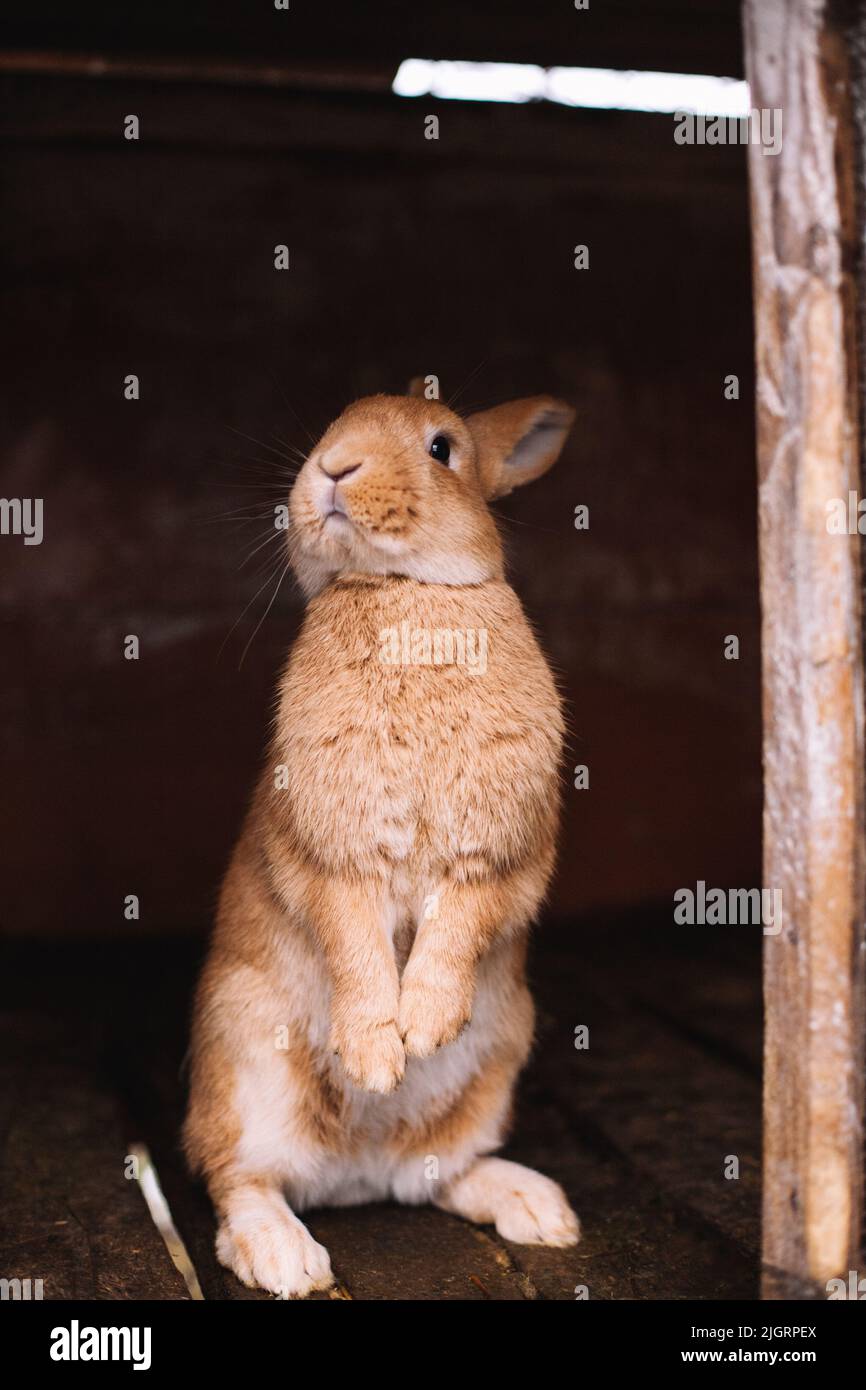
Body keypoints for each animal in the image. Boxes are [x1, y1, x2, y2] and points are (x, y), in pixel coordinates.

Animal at [183, 388, 580, 1298]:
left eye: (443, 448)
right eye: (332, 423)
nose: (333, 466)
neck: (403, 589)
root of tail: (355, 1175)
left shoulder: (495, 858)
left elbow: (457, 931)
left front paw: (421, 1028)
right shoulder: (332, 857)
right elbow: (357, 945)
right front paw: (373, 1055)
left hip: (495, 1064)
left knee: (438, 1173)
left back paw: (540, 1210)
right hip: (243, 1059)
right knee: (239, 1178)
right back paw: (286, 1256)